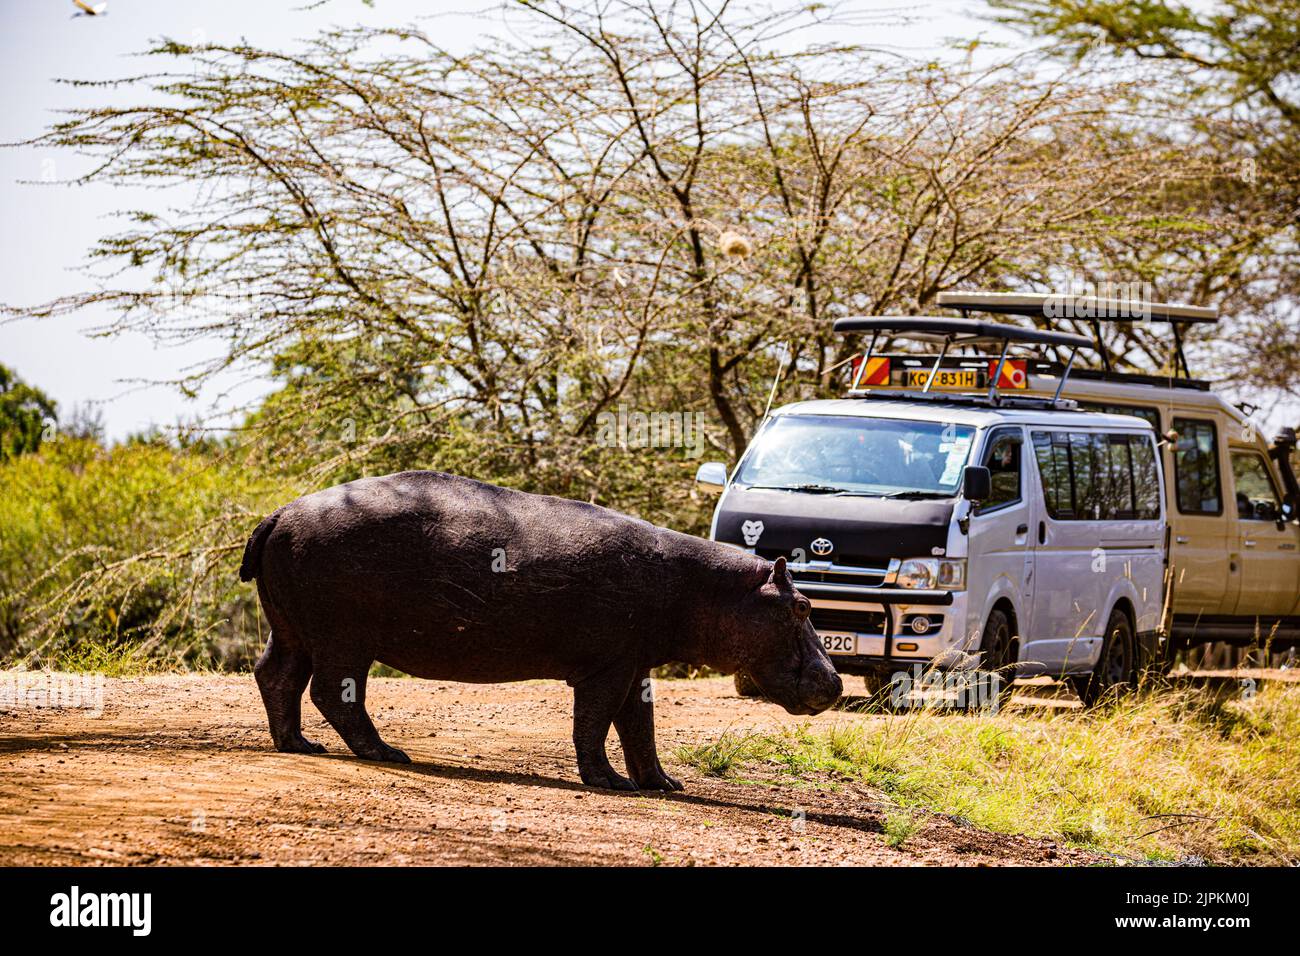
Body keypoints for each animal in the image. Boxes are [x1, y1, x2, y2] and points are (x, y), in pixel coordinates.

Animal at [239, 470, 841, 791]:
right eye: (804, 605)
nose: (834, 681)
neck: (708, 588)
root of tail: (279, 513)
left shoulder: (635, 666)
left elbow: (640, 727)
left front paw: (664, 785)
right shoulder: (607, 668)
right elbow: (595, 724)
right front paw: (611, 784)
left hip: (294, 629)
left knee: (277, 676)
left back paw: (300, 745)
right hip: (343, 637)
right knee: (333, 692)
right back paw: (389, 754)